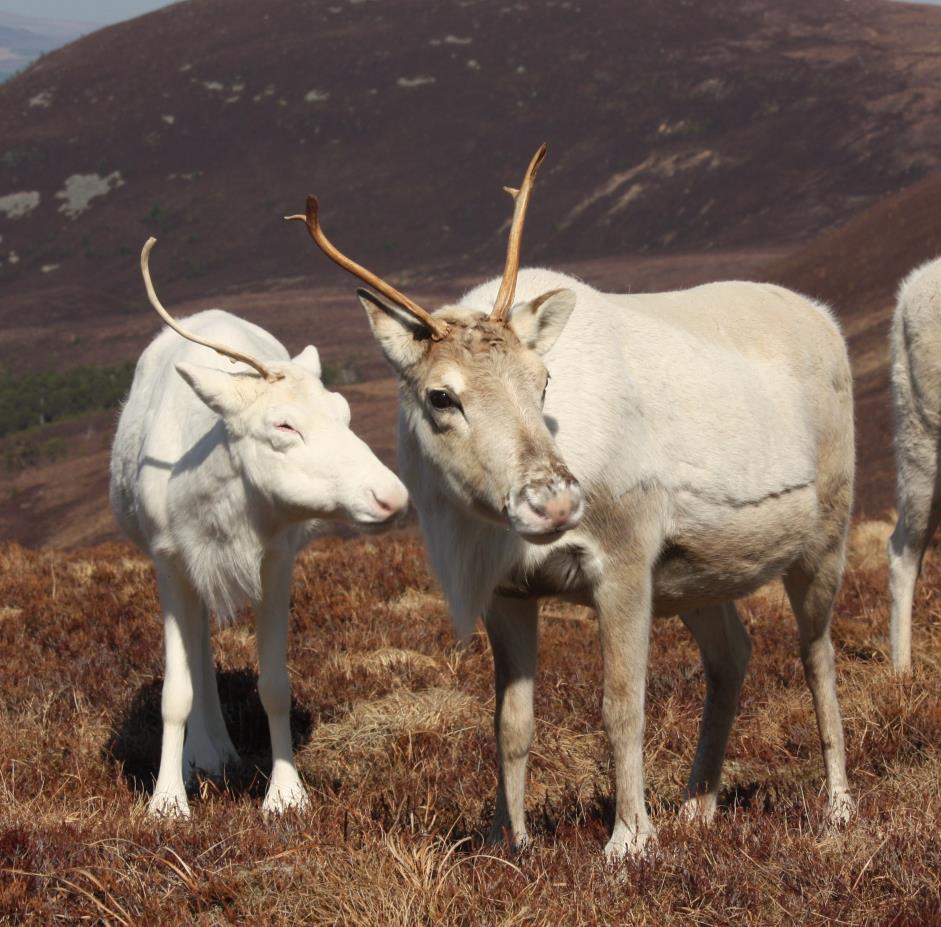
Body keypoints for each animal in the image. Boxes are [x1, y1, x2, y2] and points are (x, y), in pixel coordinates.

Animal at [110, 238, 408, 817]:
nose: (392, 495)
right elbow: (174, 693)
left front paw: (286, 795)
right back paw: (199, 757)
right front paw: (167, 802)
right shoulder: (167, 559)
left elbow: (274, 685)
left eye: (343, 410)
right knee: (198, 650)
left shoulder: (276, 559)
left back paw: (216, 752)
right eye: (283, 424)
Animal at [287, 145, 856, 859]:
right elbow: (511, 722)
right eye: (441, 396)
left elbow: (621, 706)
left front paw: (629, 841)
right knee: (733, 654)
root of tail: (825, 318)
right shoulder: (506, 592)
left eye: (543, 379)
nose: (555, 504)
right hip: (698, 576)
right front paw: (507, 840)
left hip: (826, 534)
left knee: (818, 655)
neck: (476, 534)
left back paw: (837, 807)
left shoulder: (626, 560)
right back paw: (697, 807)